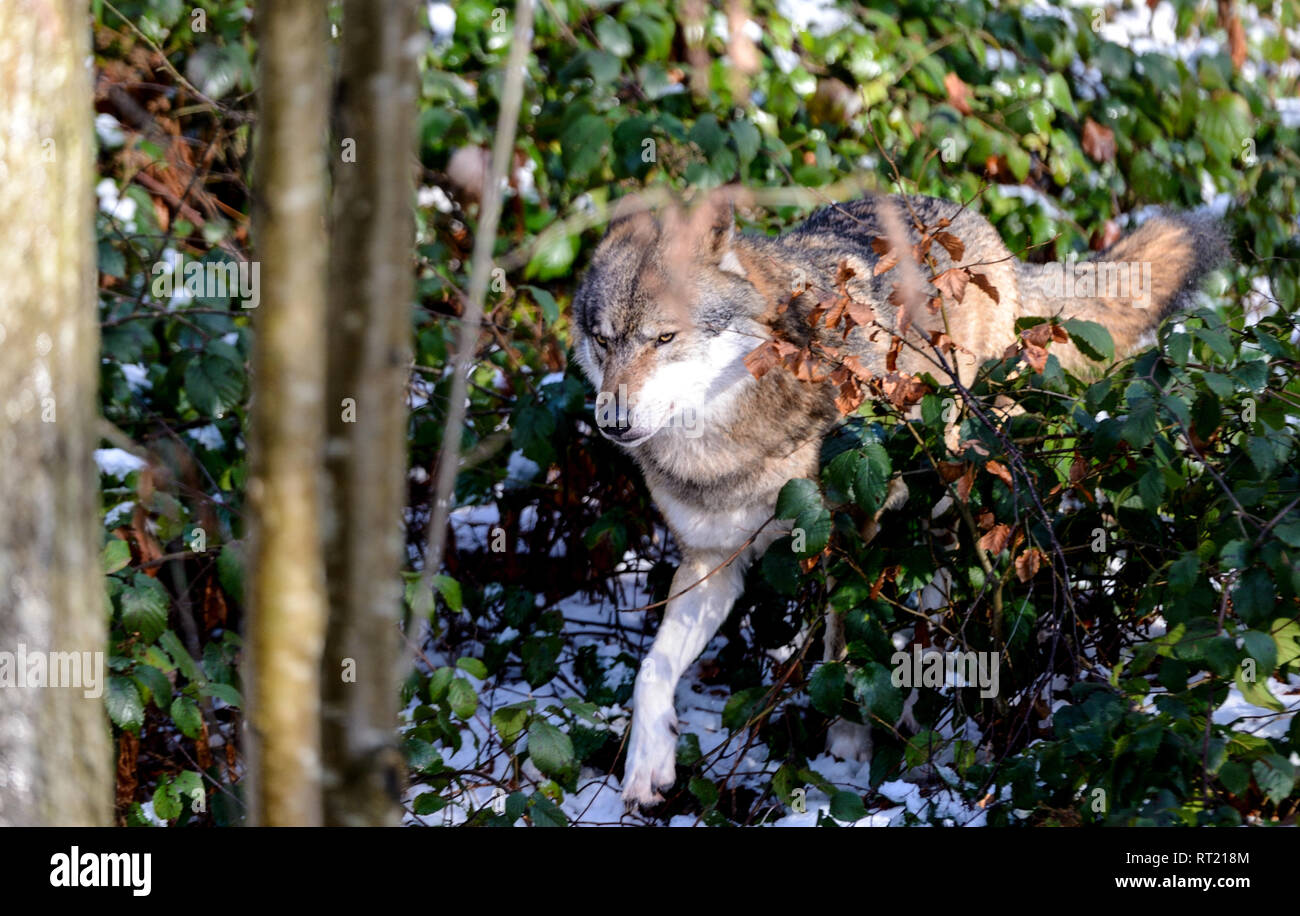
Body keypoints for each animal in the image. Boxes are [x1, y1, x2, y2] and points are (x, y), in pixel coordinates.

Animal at [570, 189, 1227, 808]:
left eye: (664, 337)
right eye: (603, 342)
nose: (612, 422)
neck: (726, 445)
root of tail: (979, 227)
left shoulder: (851, 541)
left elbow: (840, 653)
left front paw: (845, 748)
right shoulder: (712, 564)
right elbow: (651, 670)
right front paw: (646, 767)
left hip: (948, 489)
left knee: (940, 593)